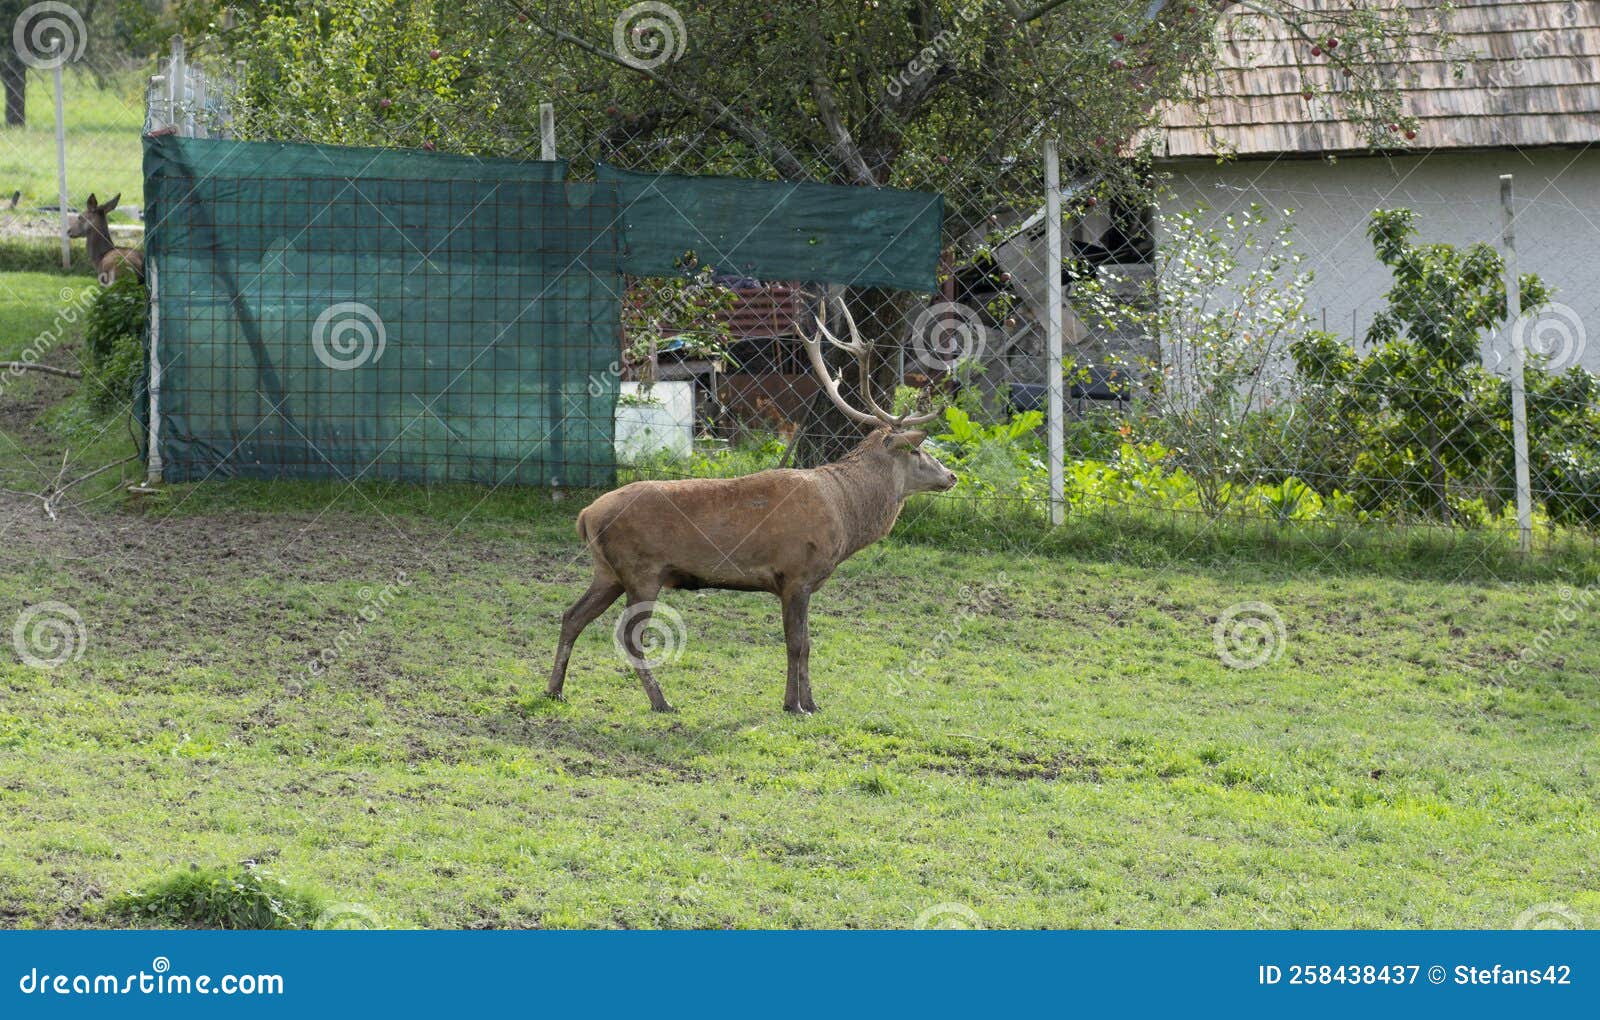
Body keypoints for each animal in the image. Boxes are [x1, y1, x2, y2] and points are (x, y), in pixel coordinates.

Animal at [549, 296, 957, 714]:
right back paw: (661, 701)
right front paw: (796, 705)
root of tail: (586, 515)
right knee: (629, 636)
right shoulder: (795, 573)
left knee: (571, 616)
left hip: (607, 571)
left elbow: (806, 644)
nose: (952, 475)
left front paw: (809, 702)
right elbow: (798, 643)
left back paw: (555, 689)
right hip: (642, 569)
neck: (844, 513)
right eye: (917, 450)